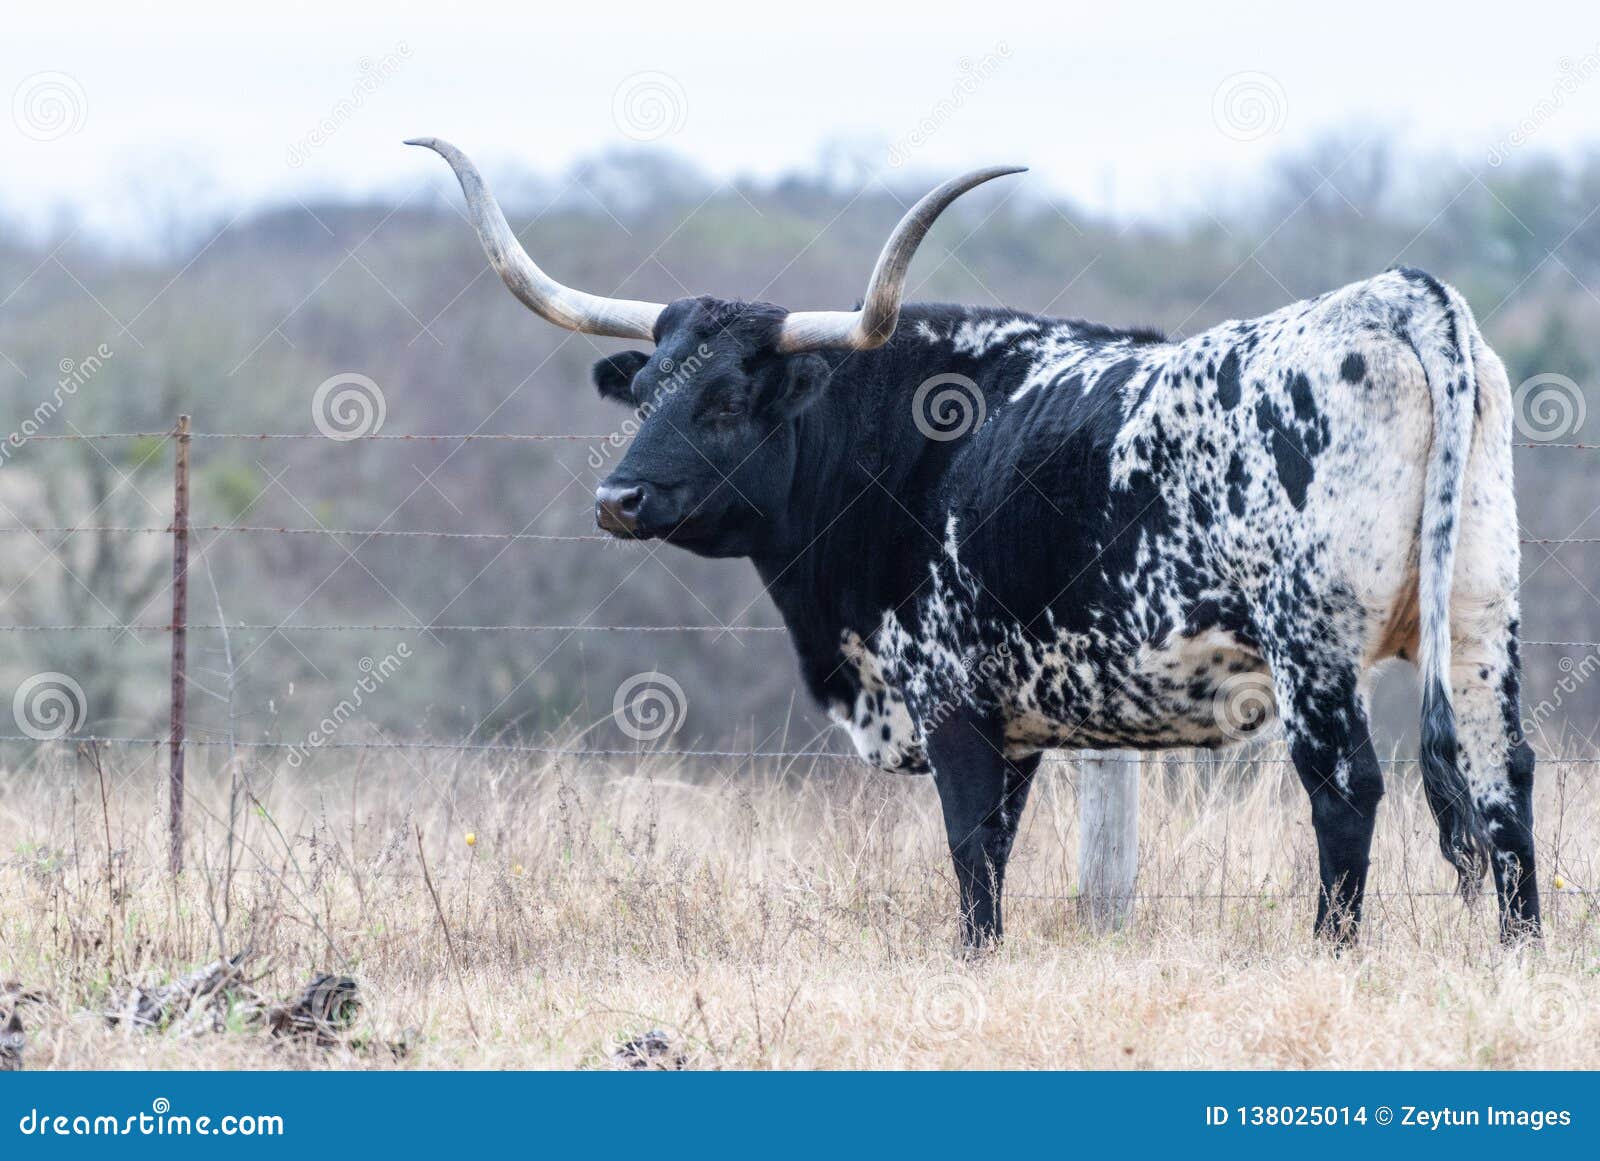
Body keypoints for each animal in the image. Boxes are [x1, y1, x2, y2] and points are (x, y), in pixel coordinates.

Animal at [412, 137, 1540, 950]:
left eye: (728, 401)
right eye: (645, 390)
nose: (619, 496)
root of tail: (1397, 297)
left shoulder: (950, 692)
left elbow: (968, 847)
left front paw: (974, 954)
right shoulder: (1021, 720)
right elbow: (996, 839)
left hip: (1312, 642)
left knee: (1344, 784)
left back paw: (1332, 948)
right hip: (1482, 617)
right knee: (1503, 777)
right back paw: (1519, 949)